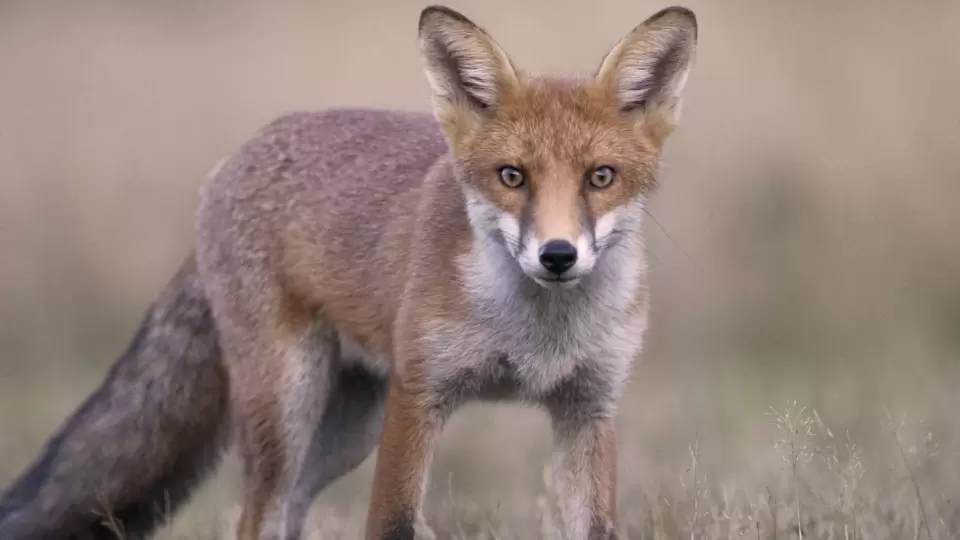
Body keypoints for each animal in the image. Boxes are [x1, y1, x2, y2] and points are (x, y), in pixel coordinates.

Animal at [0, 4, 697, 540]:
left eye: (600, 178)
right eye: (512, 177)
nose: (557, 255)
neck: (535, 341)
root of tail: (228, 164)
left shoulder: (589, 409)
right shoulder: (418, 398)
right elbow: (392, 524)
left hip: (345, 430)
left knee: (291, 513)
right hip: (289, 411)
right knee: (256, 519)